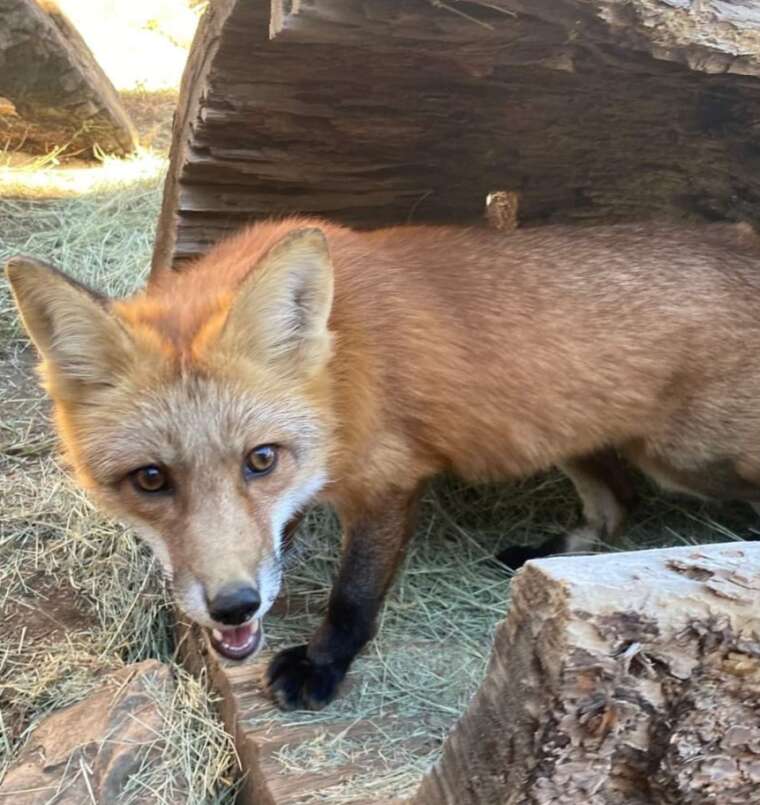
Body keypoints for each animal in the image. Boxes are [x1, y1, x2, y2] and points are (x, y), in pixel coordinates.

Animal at [7, 217, 760, 710]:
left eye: (261, 459)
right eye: (151, 479)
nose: (233, 606)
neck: (338, 372)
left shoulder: (389, 480)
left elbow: (353, 596)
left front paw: (320, 667)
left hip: (686, 459)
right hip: (579, 439)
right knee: (618, 504)